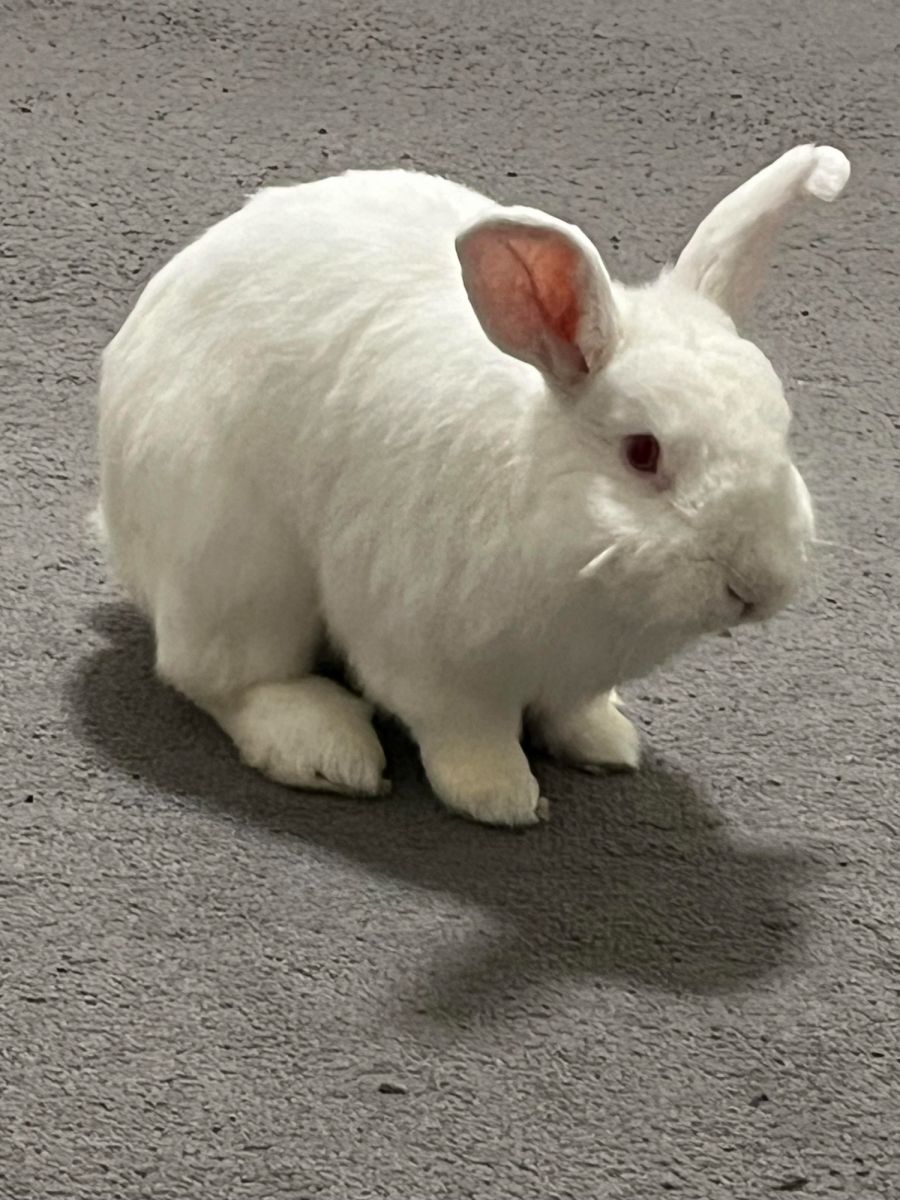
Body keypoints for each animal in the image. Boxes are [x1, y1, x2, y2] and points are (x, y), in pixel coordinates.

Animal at [96, 143, 850, 826]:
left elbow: (573, 713)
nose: (760, 585)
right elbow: (467, 738)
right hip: (234, 568)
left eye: (779, 424)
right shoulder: (428, 660)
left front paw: (607, 745)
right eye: (643, 452)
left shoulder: (574, 677)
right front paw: (505, 799)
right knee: (219, 676)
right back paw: (326, 748)